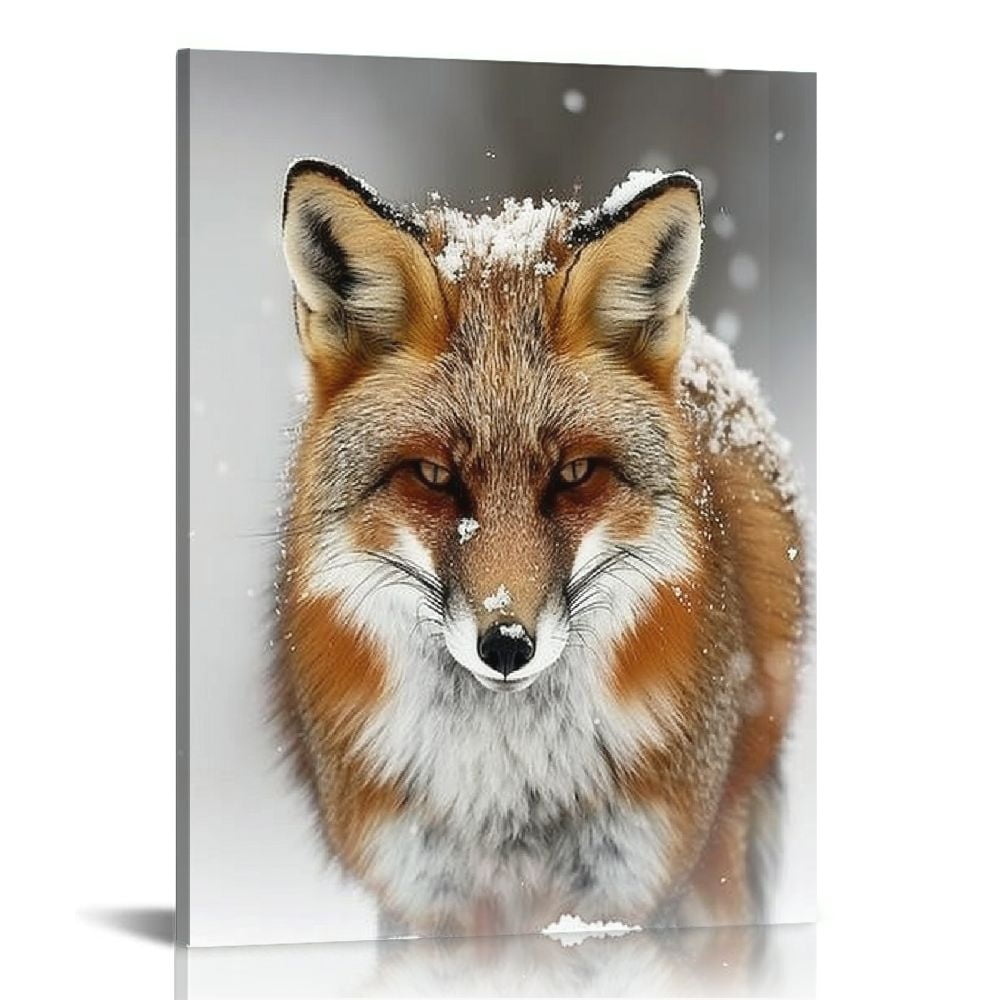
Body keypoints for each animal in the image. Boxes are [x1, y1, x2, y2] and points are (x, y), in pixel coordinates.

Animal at [274, 158, 807, 938]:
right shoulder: (428, 899)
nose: (506, 644)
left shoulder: (637, 887)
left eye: (575, 474)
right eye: (435, 476)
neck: (509, 796)